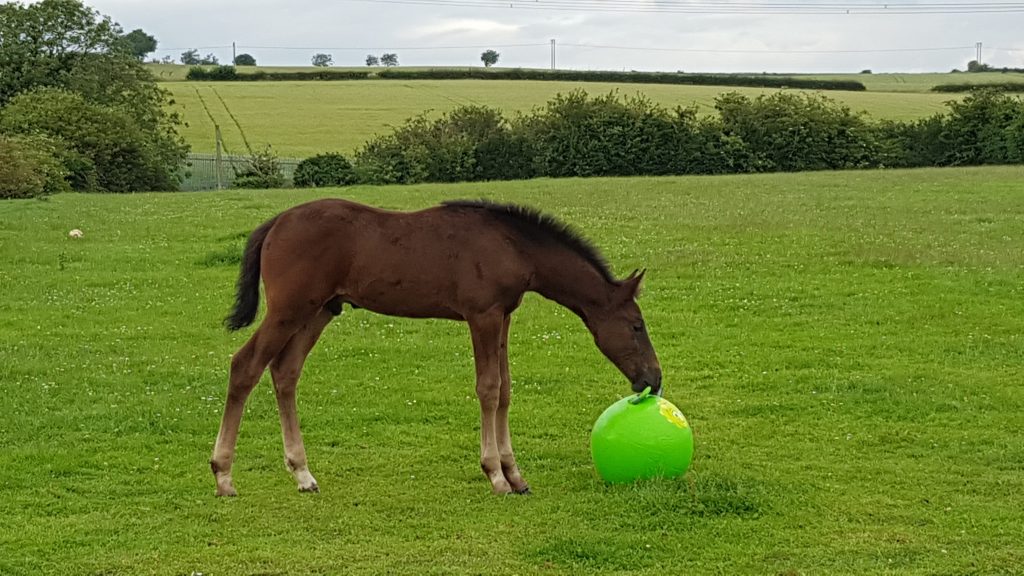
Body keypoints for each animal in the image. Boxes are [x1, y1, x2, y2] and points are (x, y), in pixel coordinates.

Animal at [210, 198, 661, 496]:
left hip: (320, 310)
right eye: (636, 325)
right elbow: (488, 389)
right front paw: (496, 474)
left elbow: (506, 390)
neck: (512, 245)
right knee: (245, 366)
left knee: (285, 372)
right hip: (289, 309)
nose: (653, 379)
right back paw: (223, 474)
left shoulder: (503, 316)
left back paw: (303, 474)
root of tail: (275, 223)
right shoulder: (482, 315)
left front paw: (515, 474)